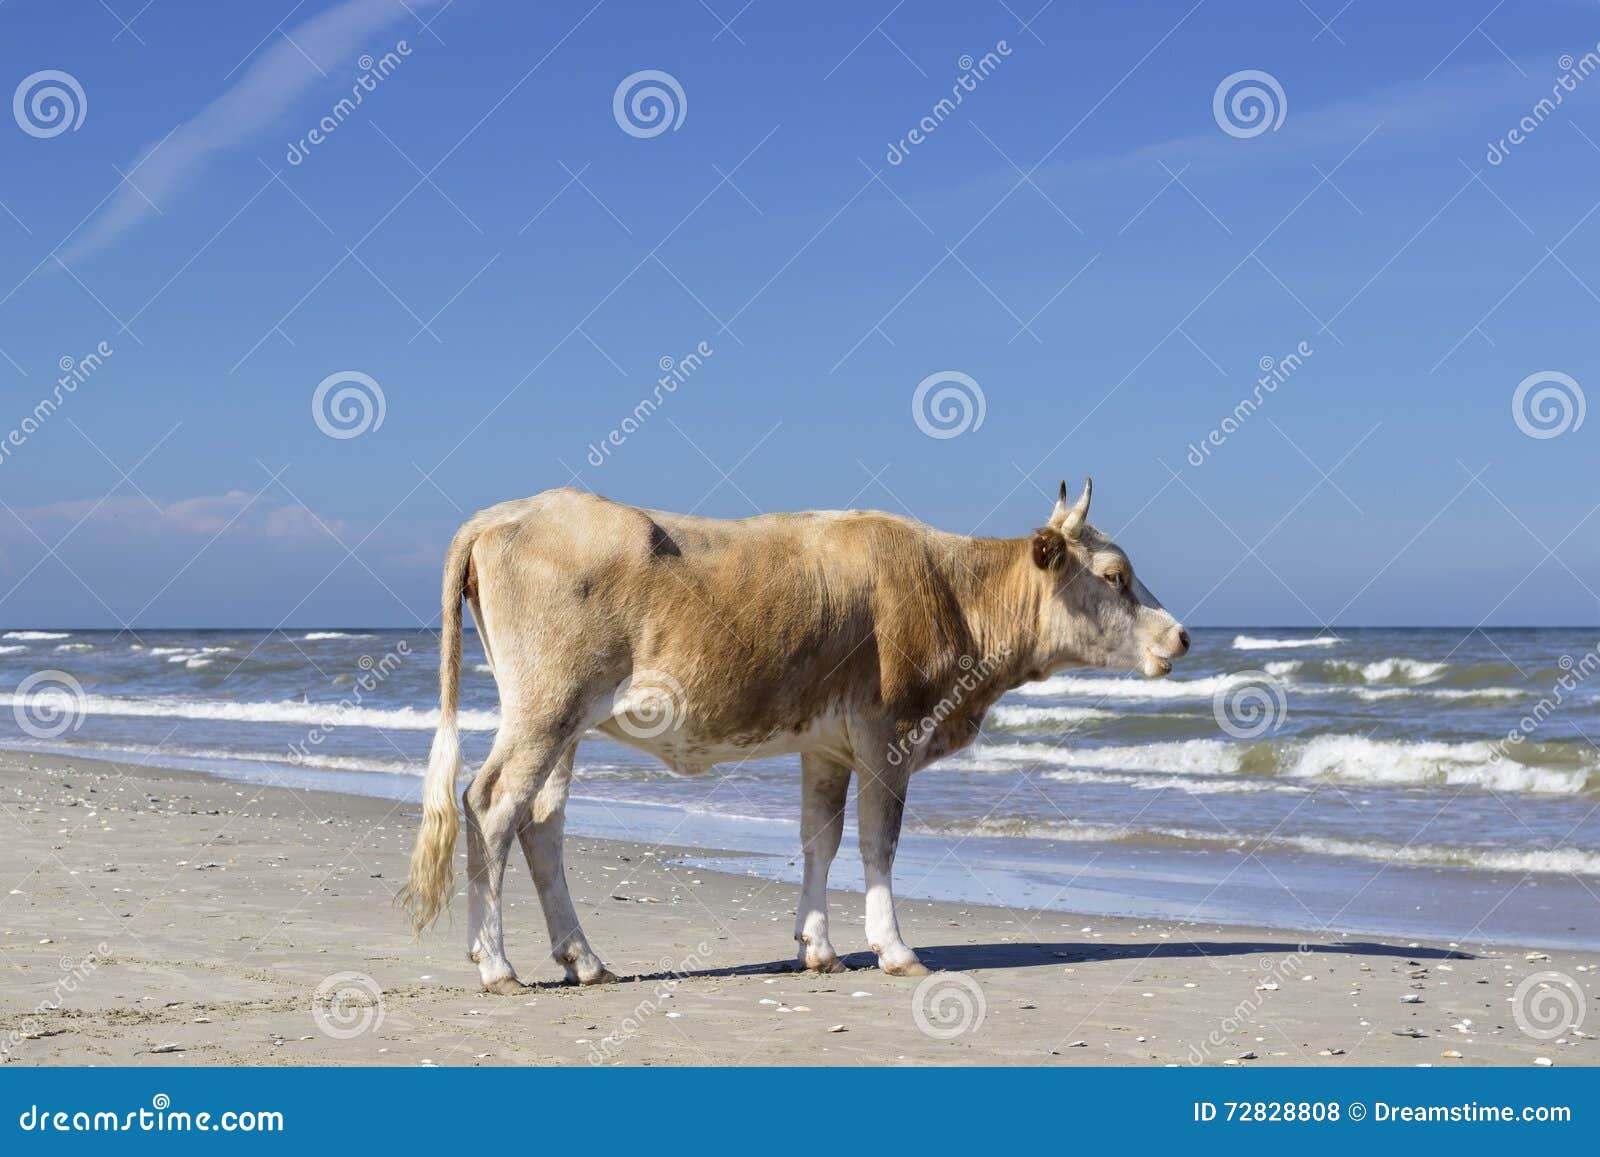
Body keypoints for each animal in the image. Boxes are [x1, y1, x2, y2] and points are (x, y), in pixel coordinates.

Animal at [401, 479, 1189, 993]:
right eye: (1115, 575)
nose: (1180, 635)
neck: (954, 591)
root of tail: (510, 509)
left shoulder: (826, 744)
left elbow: (821, 839)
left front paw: (819, 946)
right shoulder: (889, 731)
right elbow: (879, 843)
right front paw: (894, 948)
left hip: (564, 720)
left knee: (542, 822)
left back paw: (585, 961)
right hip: (545, 706)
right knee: (493, 805)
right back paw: (495, 963)